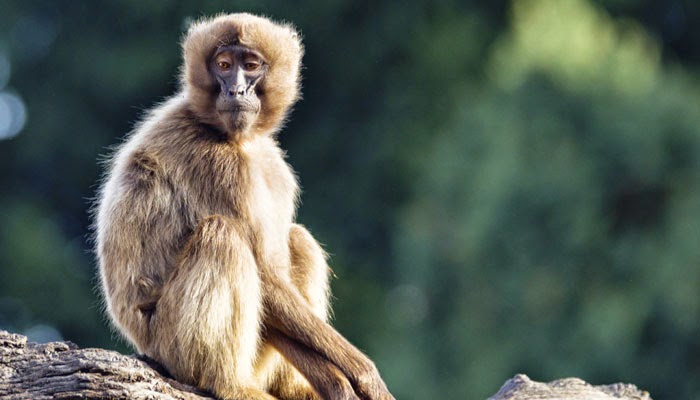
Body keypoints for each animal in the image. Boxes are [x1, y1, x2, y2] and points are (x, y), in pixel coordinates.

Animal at [94, 13, 395, 400]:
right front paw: (362, 373)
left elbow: (274, 275)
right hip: (169, 344)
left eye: (250, 66)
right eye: (223, 66)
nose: (236, 90)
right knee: (223, 235)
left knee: (296, 240)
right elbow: (265, 274)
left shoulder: (273, 165)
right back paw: (230, 384)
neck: (236, 138)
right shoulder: (213, 163)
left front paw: (335, 381)